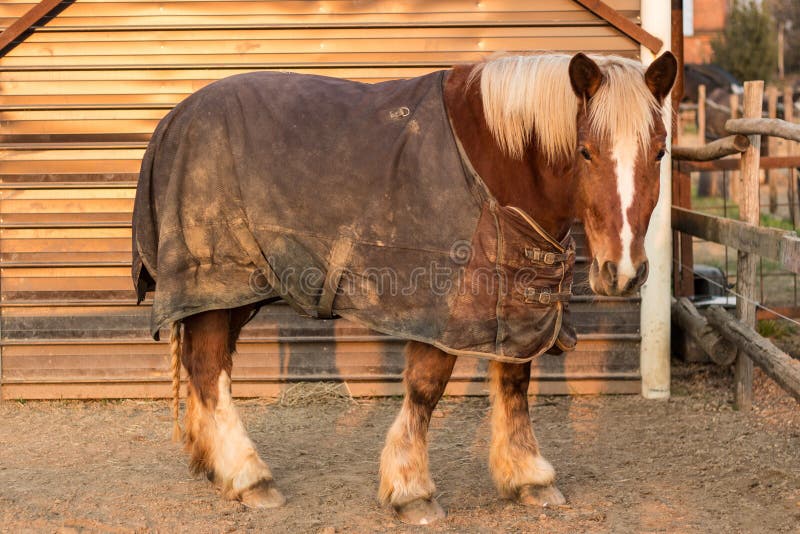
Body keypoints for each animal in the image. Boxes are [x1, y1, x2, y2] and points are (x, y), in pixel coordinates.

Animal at [132, 51, 676, 525]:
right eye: (585, 151)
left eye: (660, 152)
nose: (622, 271)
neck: (495, 160)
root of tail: (172, 120)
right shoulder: (444, 307)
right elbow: (425, 388)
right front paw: (410, 489)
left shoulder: (515, 298)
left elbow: (514, 382)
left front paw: (528, 477)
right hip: (211, 279)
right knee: (208, 370)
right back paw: (248, 476)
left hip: (231, 293)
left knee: (209, 365)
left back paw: (214, 465)